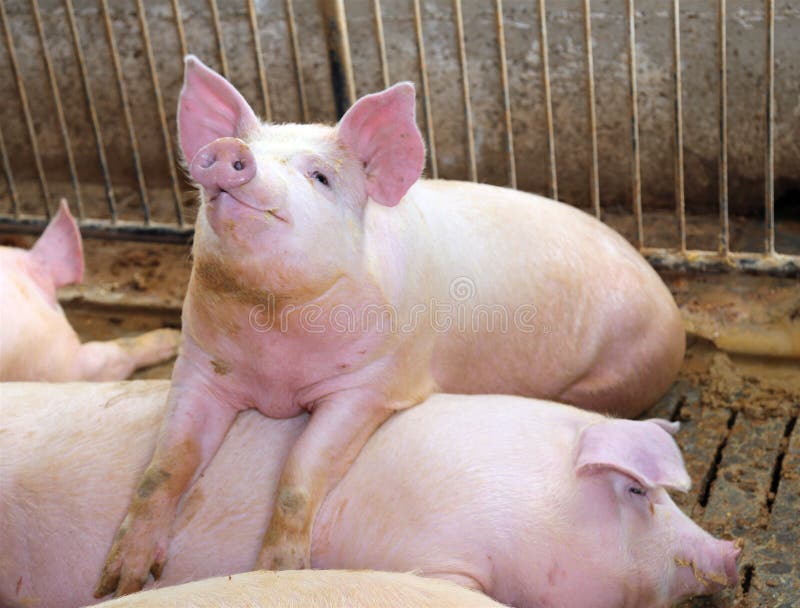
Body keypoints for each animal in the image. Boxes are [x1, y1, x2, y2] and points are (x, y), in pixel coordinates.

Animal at [96, 54, 686, 594]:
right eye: (241, 149)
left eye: (320, 176)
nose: (227, 154)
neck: (274, 352)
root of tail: (673, 316)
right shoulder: (200, 364)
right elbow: (164, 467)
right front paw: (120, 581)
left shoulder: (375, 383)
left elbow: (300, 472)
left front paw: (277, 570)